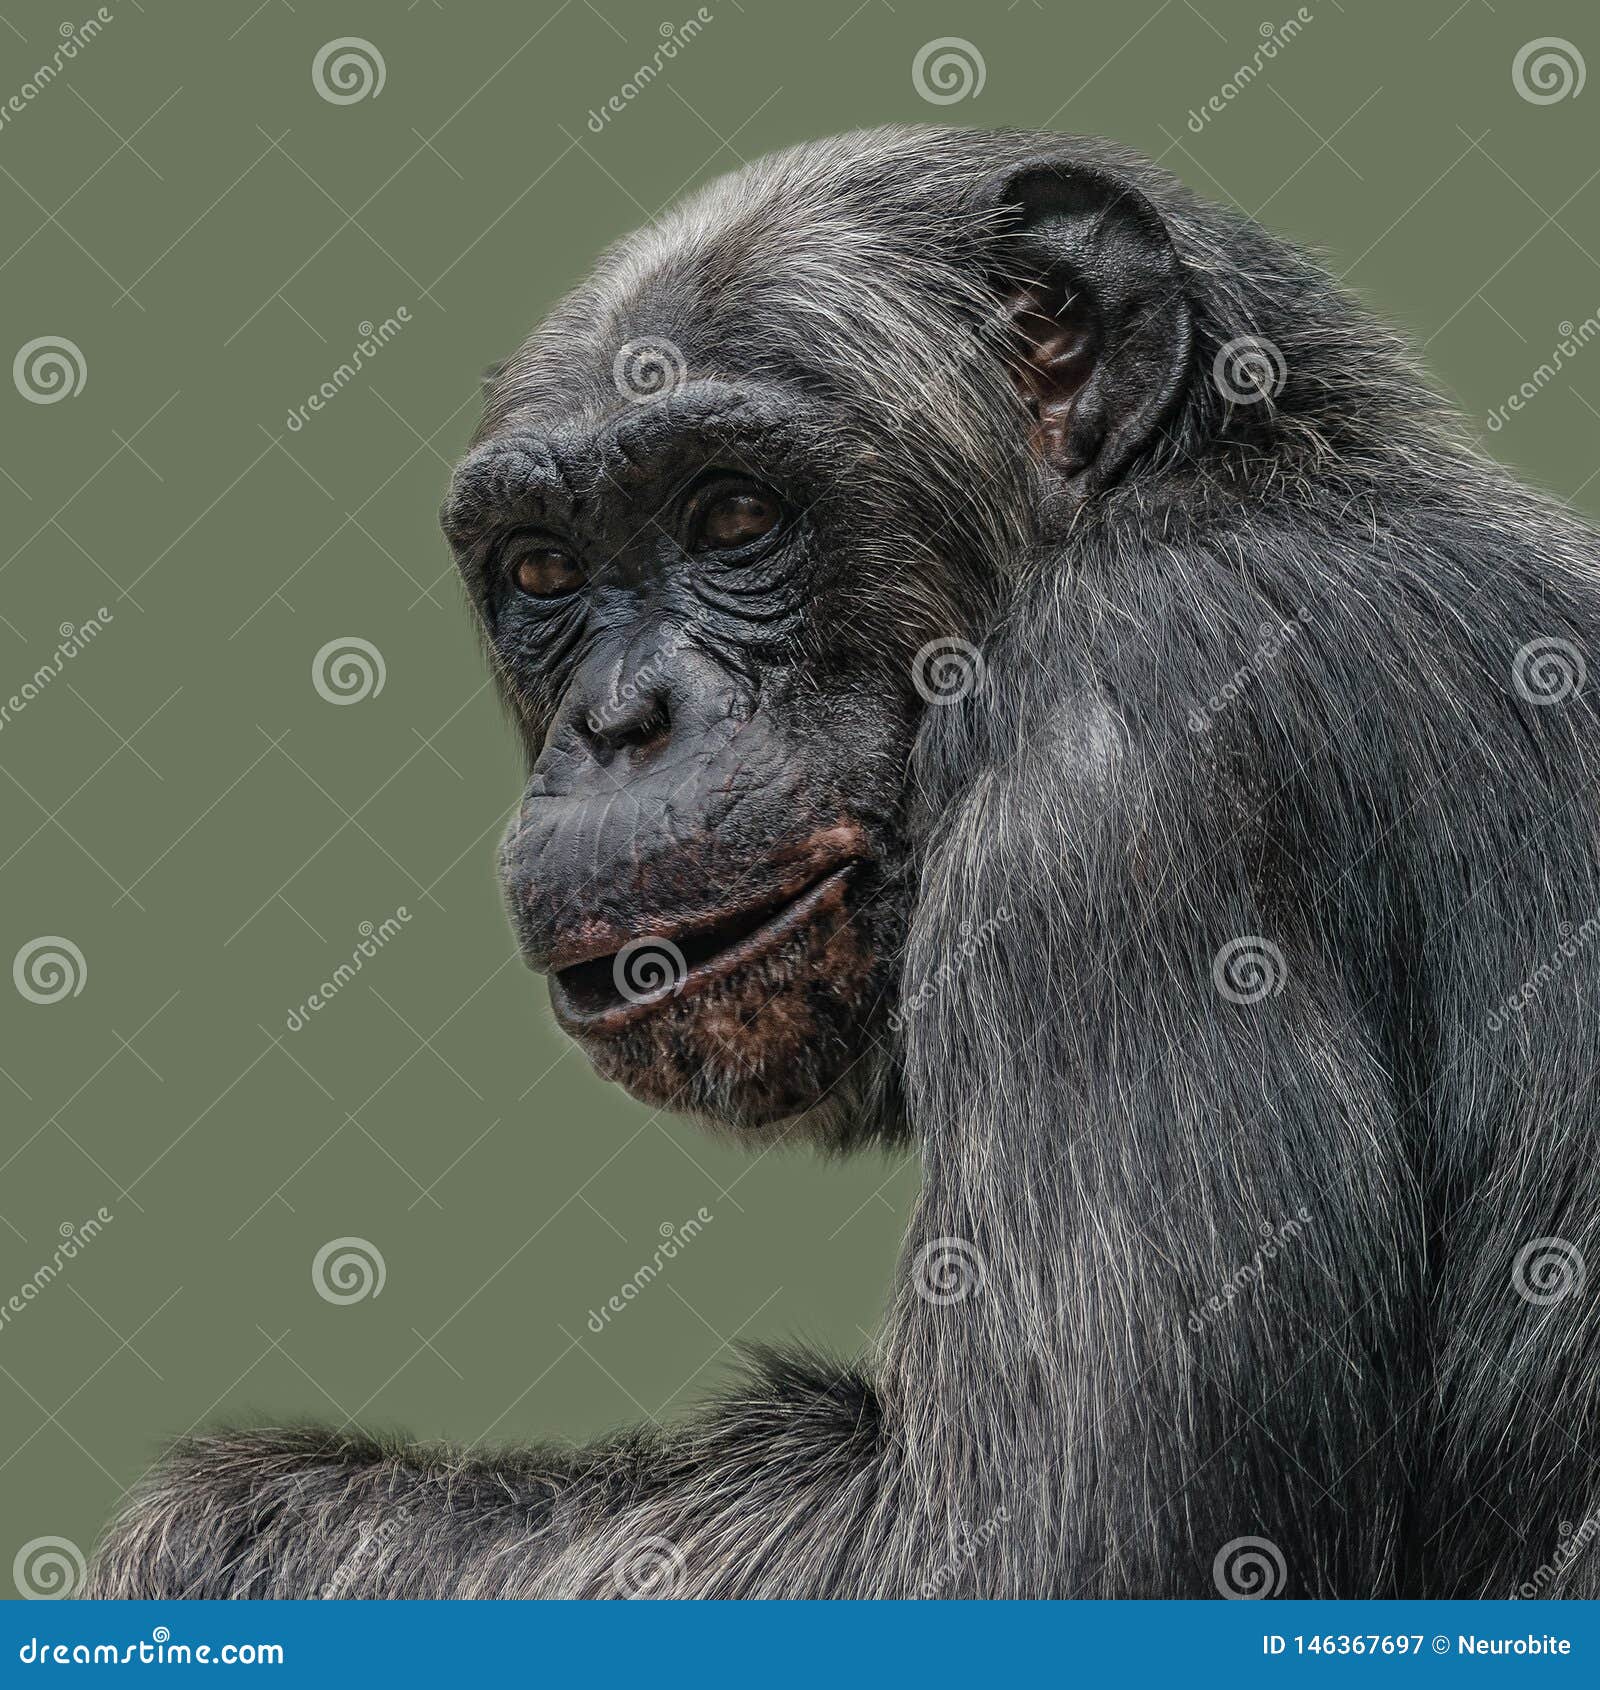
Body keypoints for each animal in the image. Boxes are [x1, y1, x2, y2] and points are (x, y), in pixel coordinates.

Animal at [85, 124, 1600, 1600]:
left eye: (734, 517)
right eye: (542, 571)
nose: (620, 721)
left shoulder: (1133, 764)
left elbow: (1032, 1552)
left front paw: (205, 1528)